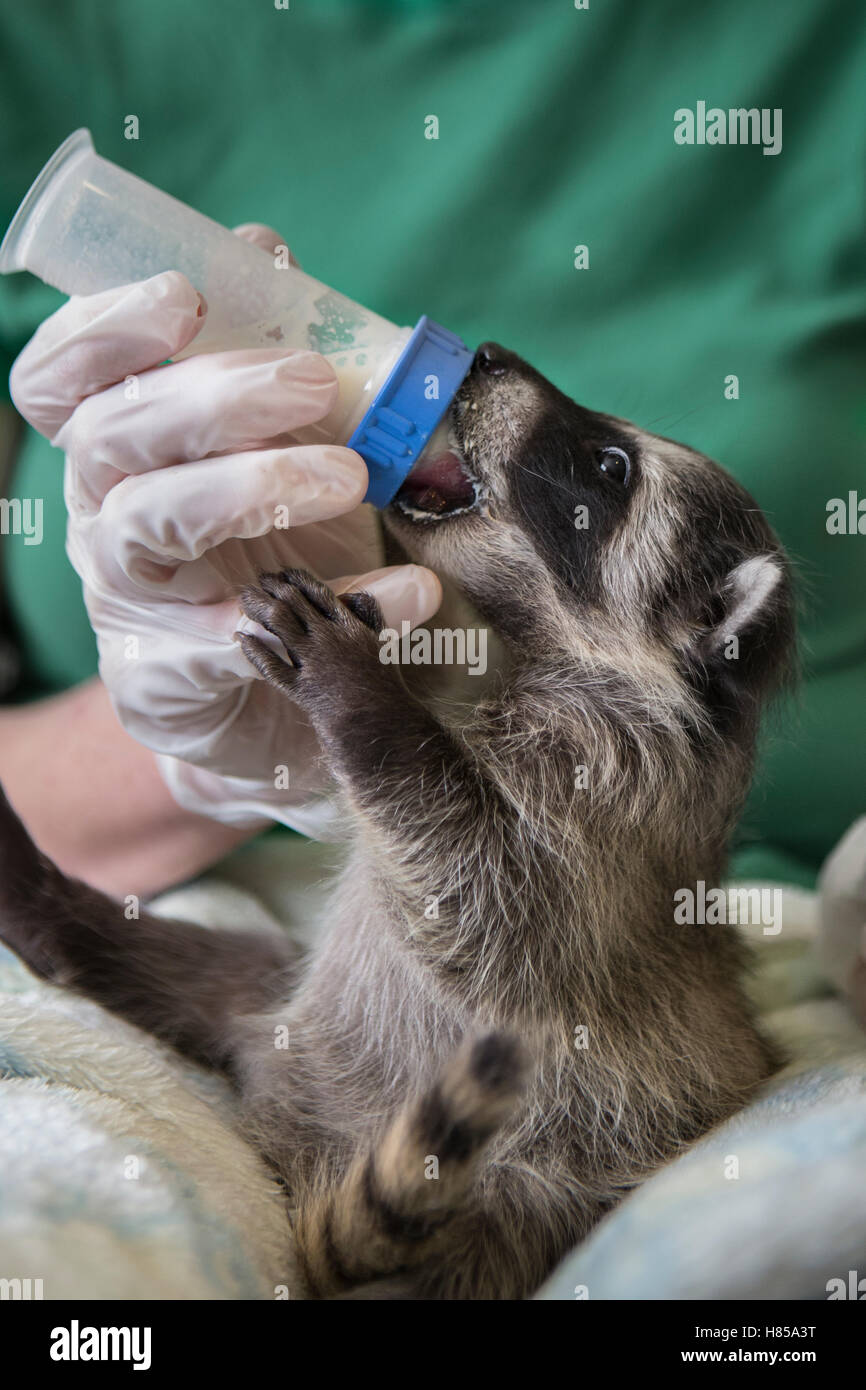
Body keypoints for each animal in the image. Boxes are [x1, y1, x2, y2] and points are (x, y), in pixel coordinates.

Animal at [0, 341, 796, 1299]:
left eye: (611, 468)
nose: (487, 354)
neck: (519, 644)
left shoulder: (607, 805)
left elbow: (486, 894)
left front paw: (360, 695)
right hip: (284, 1004)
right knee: (203, 968)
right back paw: (58, 913)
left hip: (521, 1192)